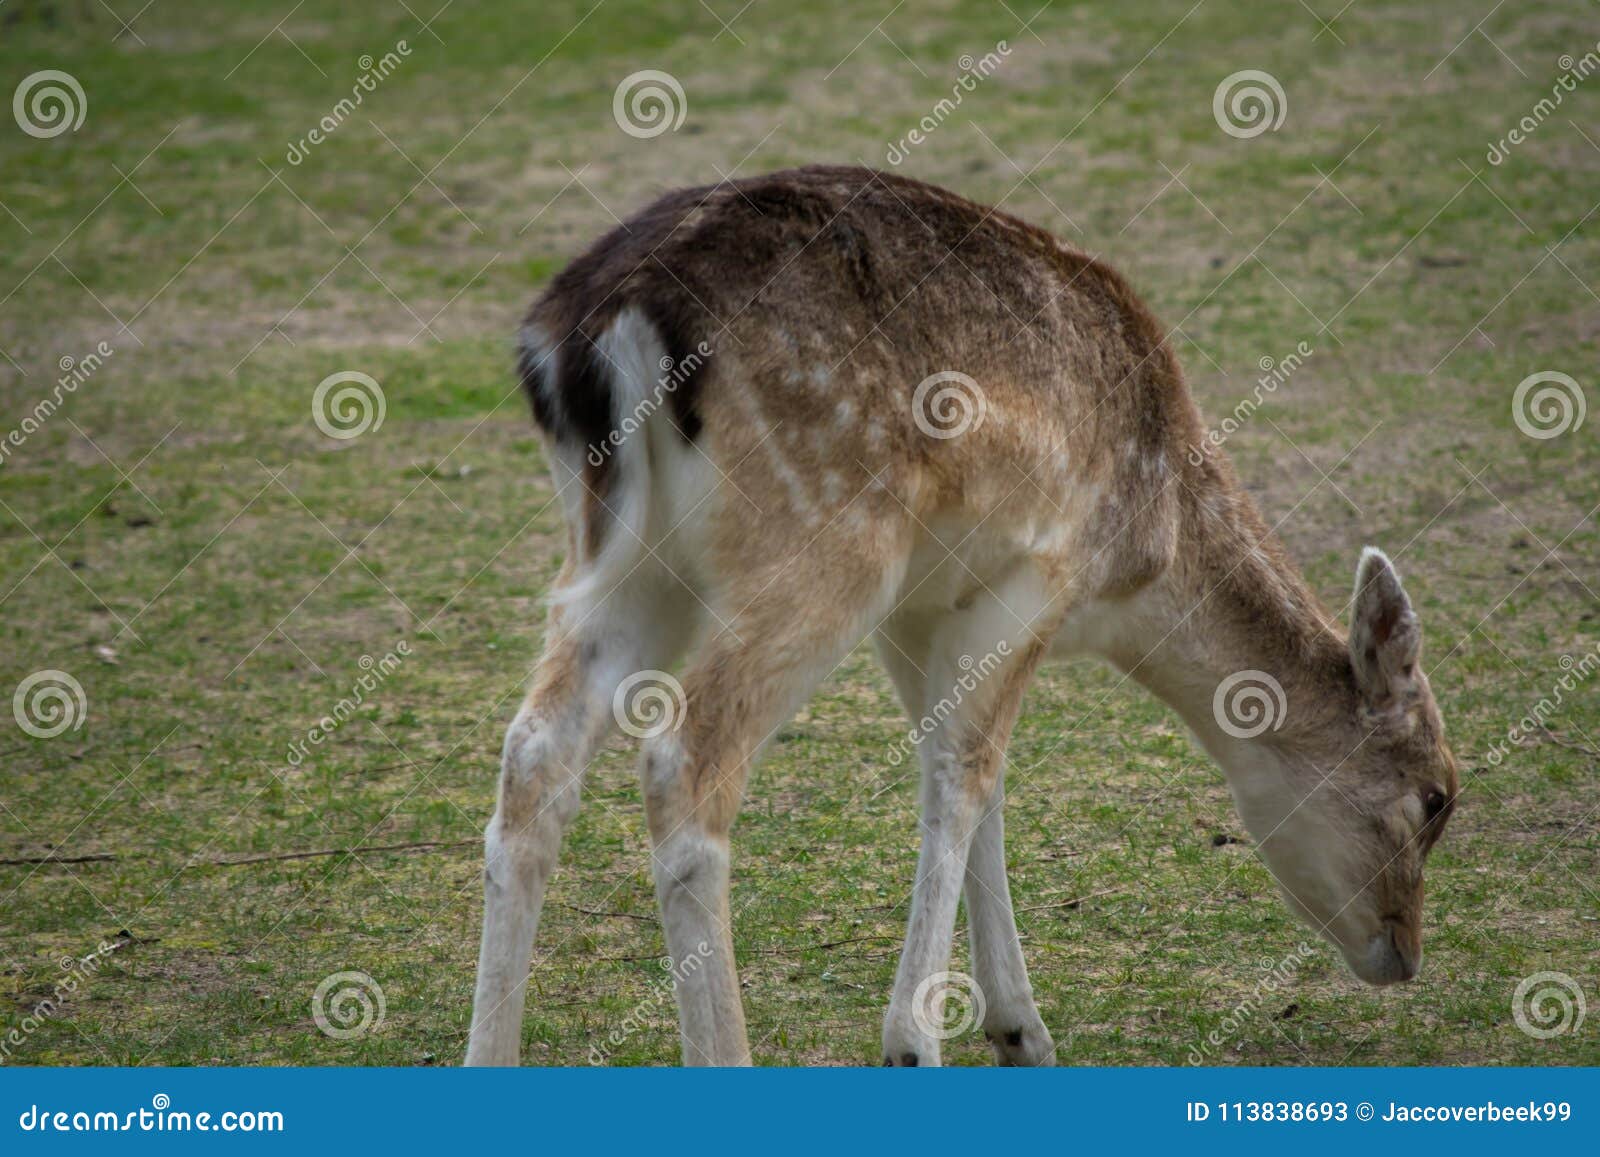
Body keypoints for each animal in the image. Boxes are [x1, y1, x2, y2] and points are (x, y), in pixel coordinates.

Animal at [464, 165, 1459, 1067]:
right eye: (1438, 797)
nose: (1405, 953)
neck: (1149, 558)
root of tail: (598, 325)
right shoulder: (1039, 573)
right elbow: (970, 772)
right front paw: (920, 1039)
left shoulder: (920, 607)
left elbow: (962, 766)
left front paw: (1018, 1029)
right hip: (823, 543)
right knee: (684, 754)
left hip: (624, 561)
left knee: (535, 747)